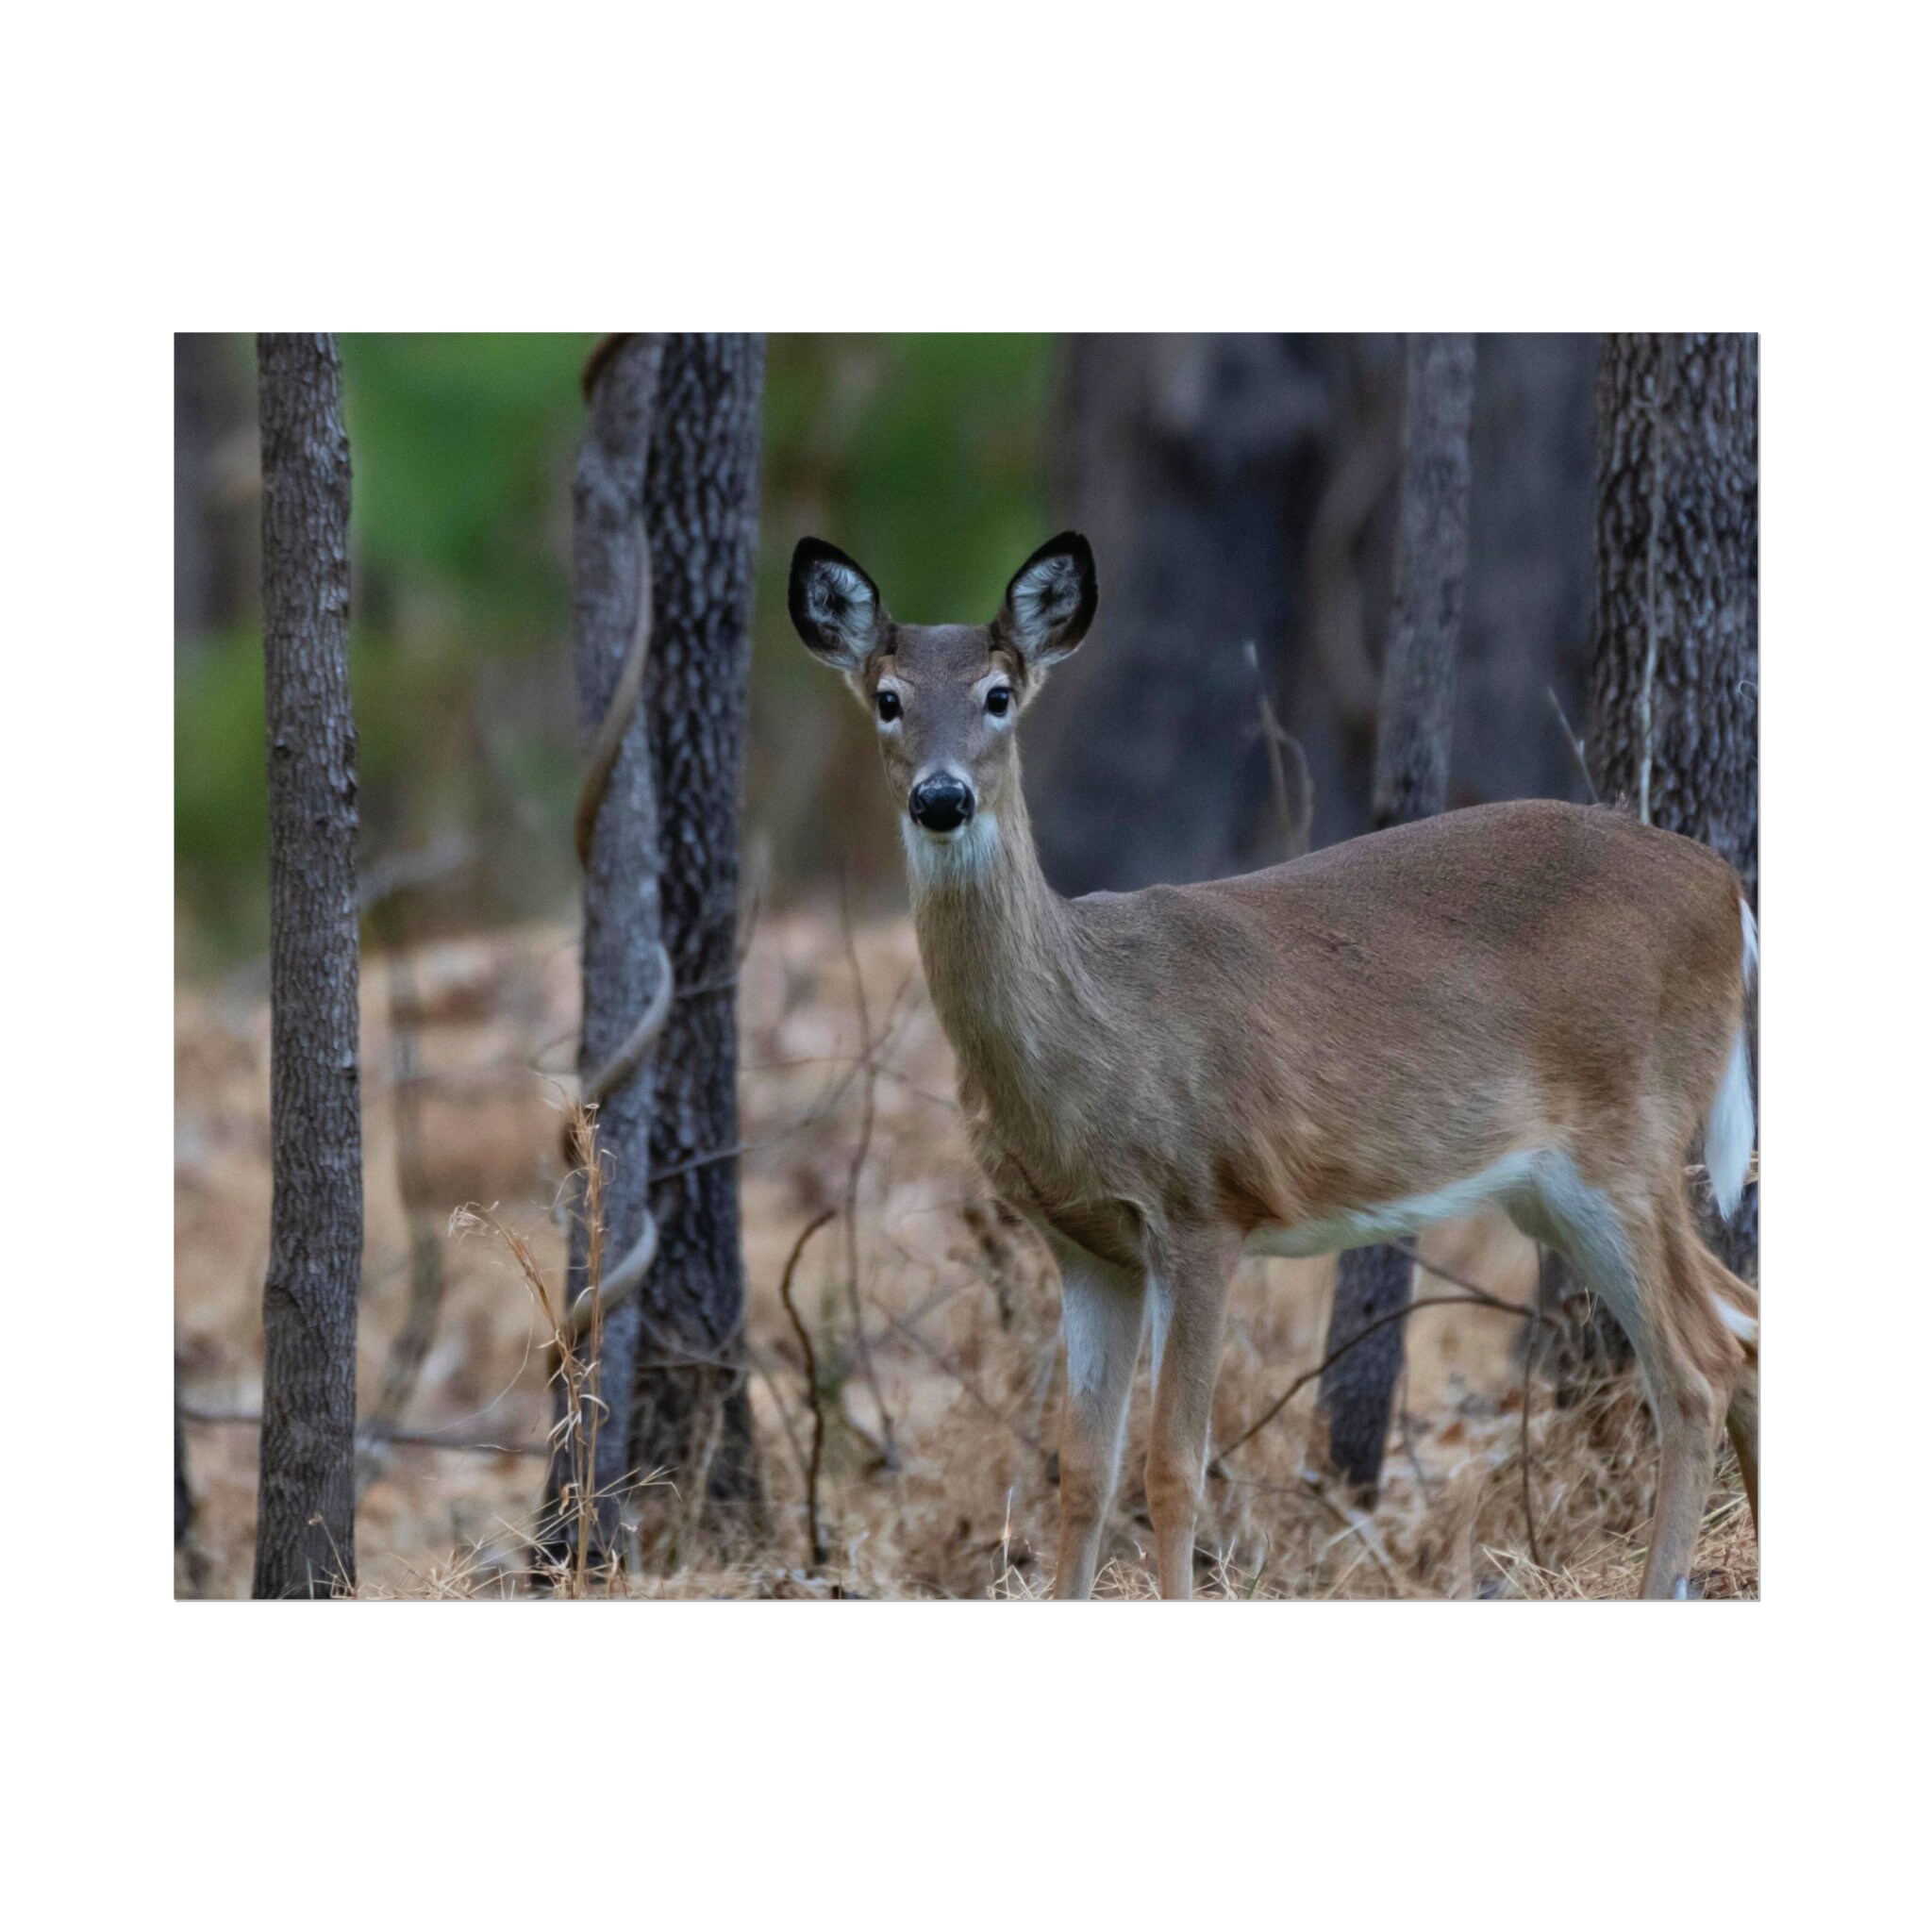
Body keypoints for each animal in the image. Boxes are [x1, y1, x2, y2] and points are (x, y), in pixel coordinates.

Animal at [788, 530, 1759, 1601]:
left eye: (999, 693)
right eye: (888, 698)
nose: (942, 797)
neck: (1090, 1035)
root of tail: (1727, 890)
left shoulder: (1203, 1204)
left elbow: (1171, 1466)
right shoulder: (1085, 1244)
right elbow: (1080, 1470)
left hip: (1624, 1136)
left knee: (1699, 1365)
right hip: (1550, 1186)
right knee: (1746, 1323)